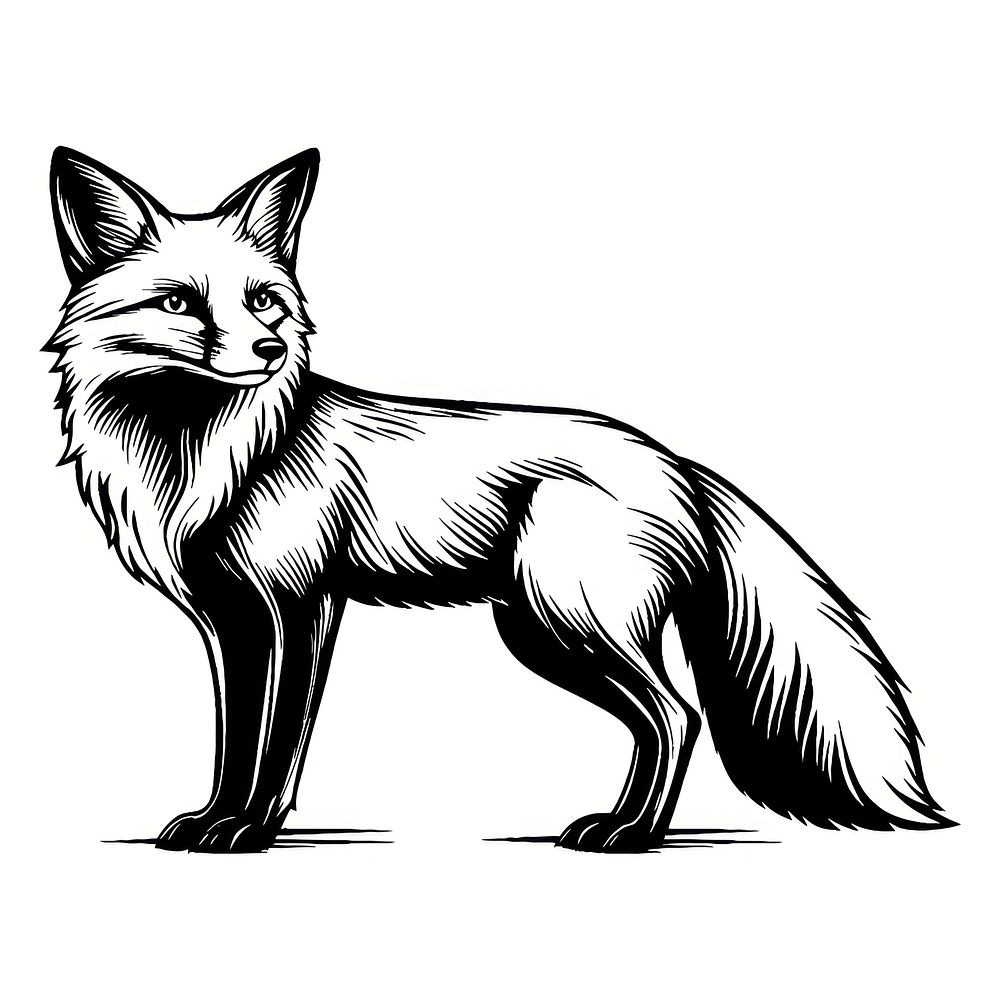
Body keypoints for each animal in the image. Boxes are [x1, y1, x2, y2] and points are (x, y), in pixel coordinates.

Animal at [46, 146, 953, 853]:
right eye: (178, 302)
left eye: (263, 300)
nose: (269, 350)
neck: (206, 457)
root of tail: (670, 457)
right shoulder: (232, 623)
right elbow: (239, 738)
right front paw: (219, 818)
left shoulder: (298, 609)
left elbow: (273, 743)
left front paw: (247, 828)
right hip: (541, 632)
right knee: (664, 718)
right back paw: (625, 824)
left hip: (568, 622)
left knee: (678, 715)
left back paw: (631, 834)